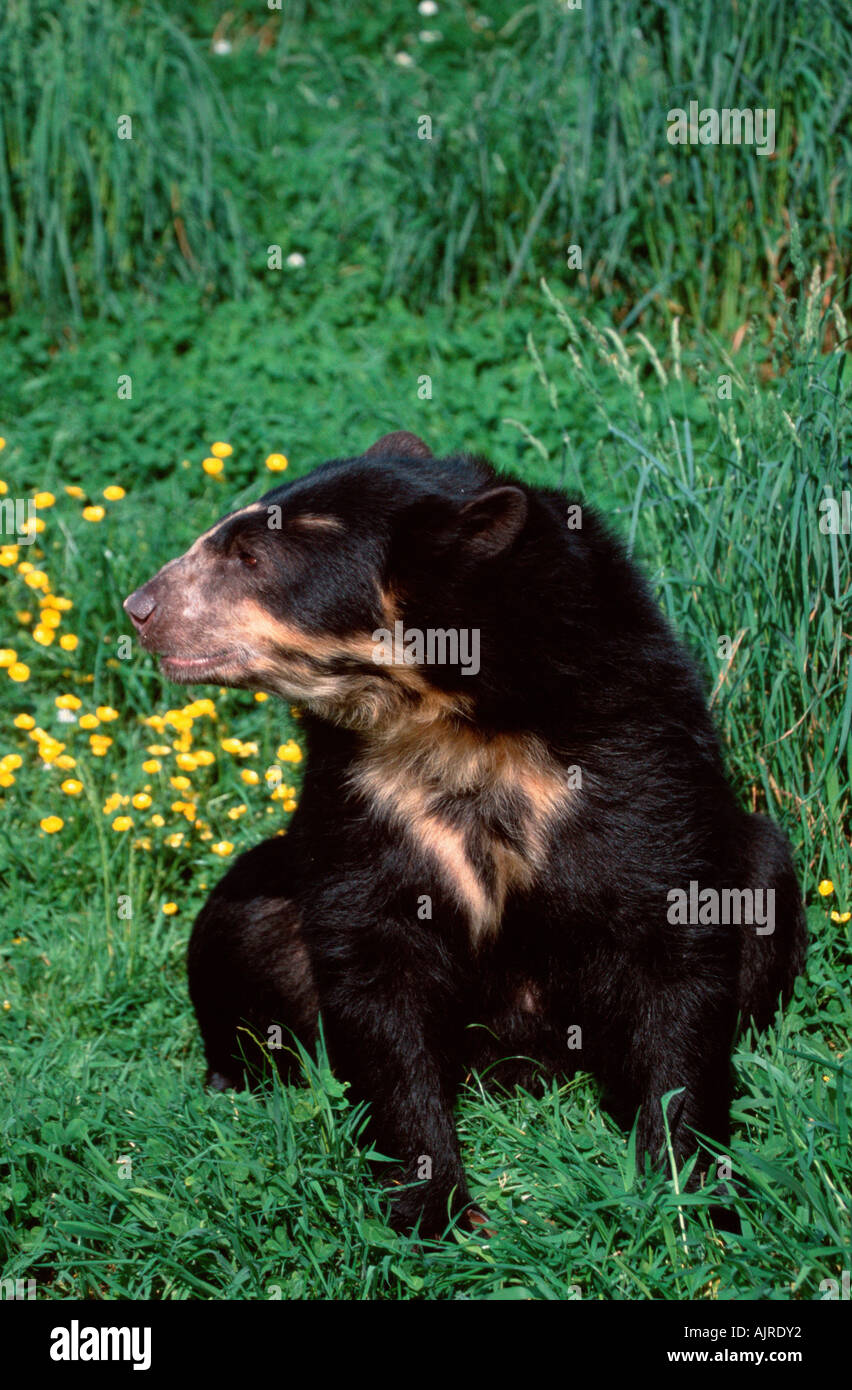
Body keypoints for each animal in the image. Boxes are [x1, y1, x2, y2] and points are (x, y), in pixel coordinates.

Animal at [124, 430, 807, 1237]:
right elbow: (374, 971)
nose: (140, 607)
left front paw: (687, 1191)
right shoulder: (363, 788)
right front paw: (434, 1205)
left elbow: (673, 939)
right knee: (243, 923)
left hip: (751, 869)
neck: (448, 716)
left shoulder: (634, 749)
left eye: (251, 557)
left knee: (762, 875)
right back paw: (233, 1082)